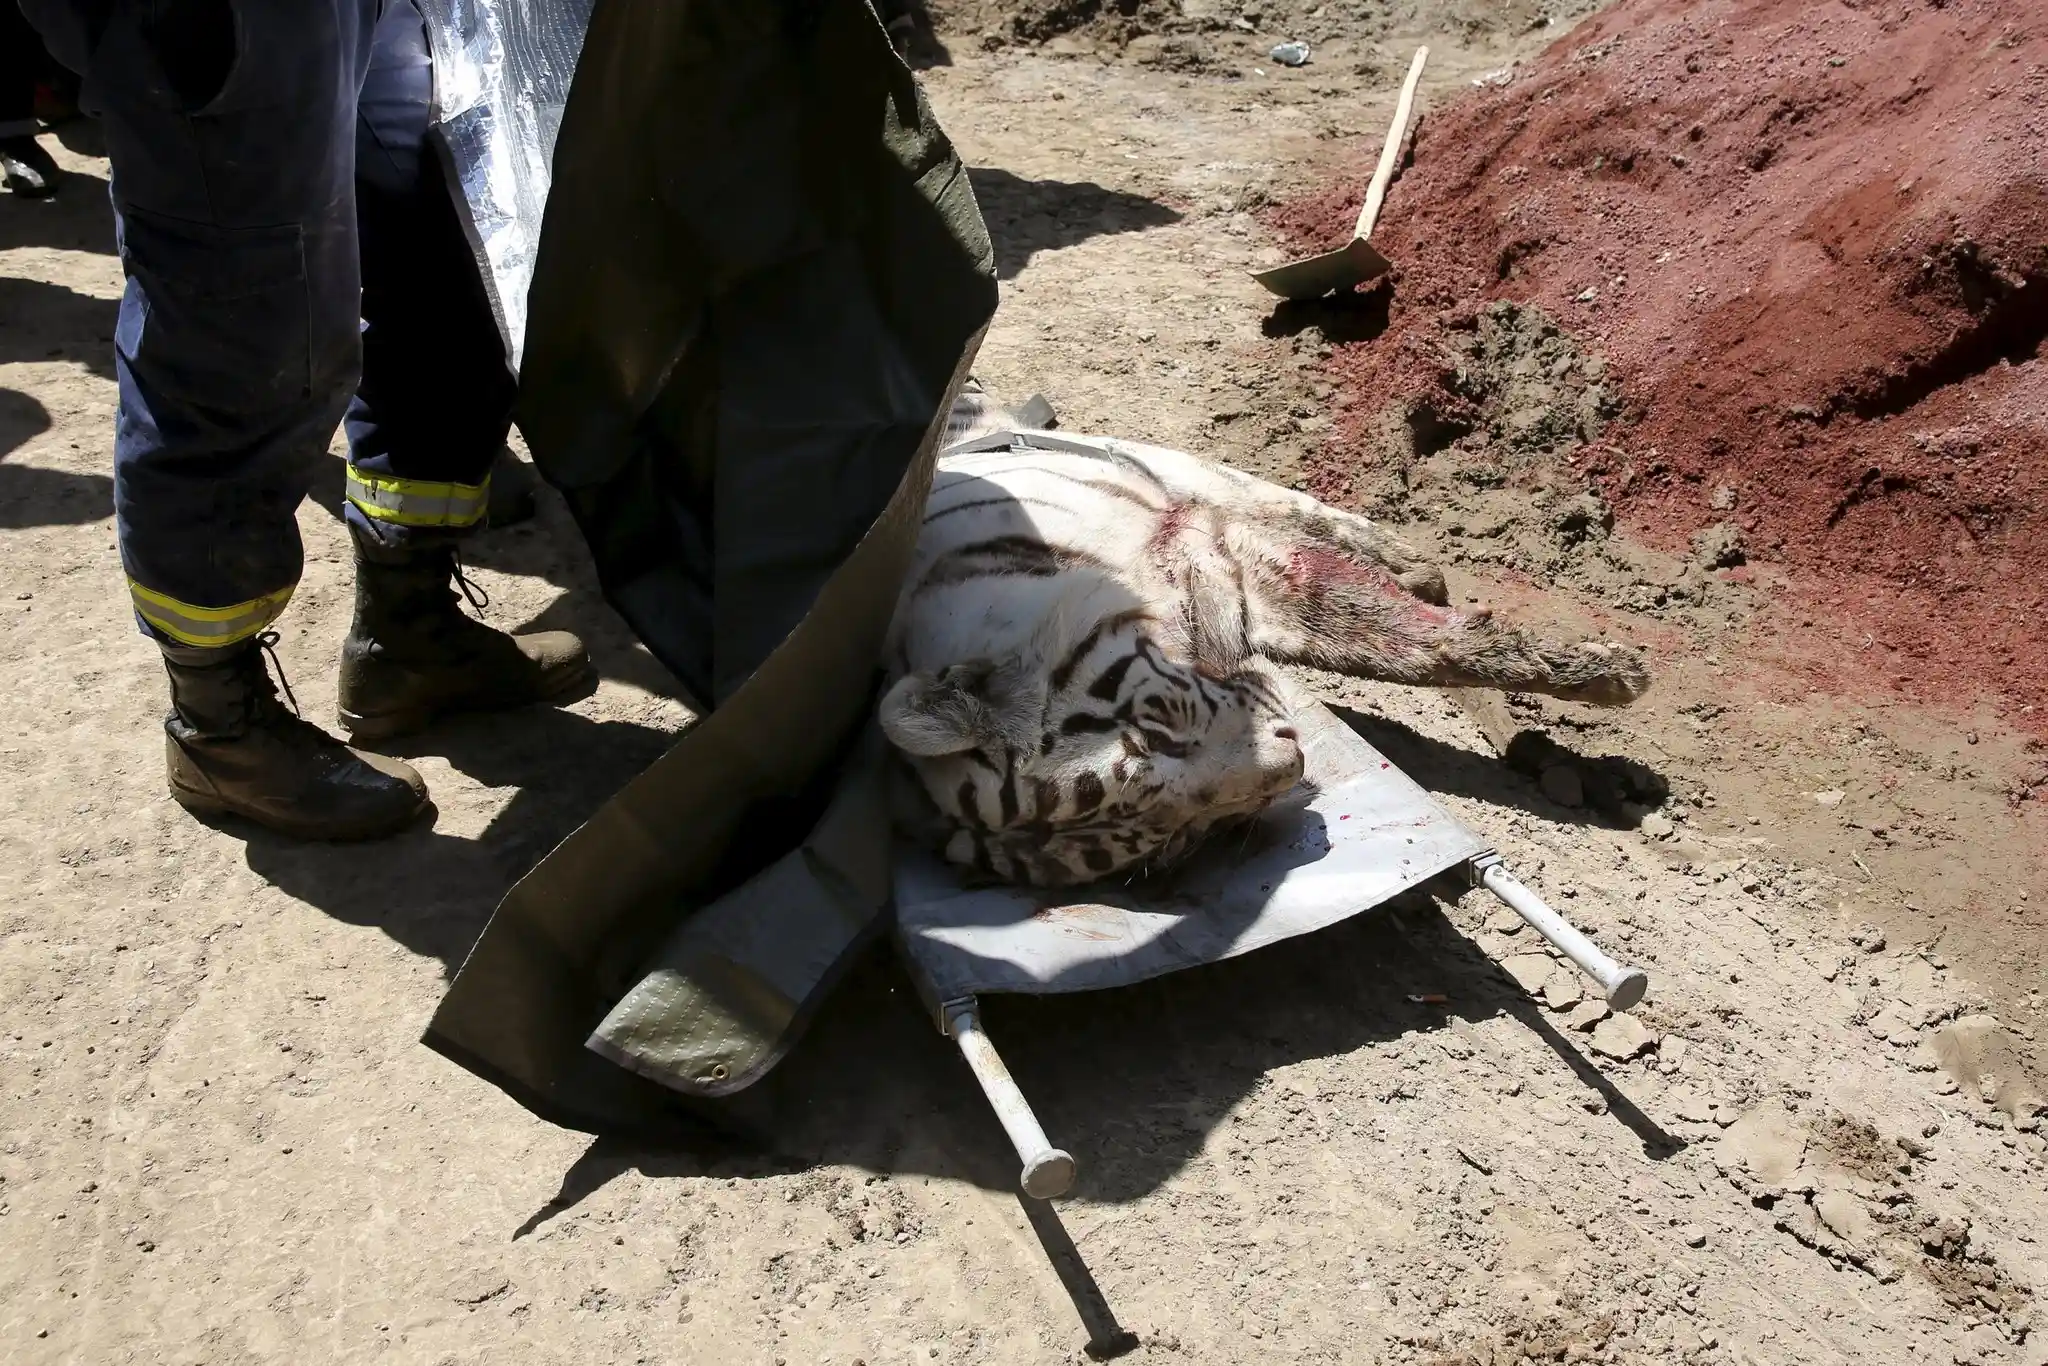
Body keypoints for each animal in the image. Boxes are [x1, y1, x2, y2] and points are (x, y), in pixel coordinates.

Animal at [879, 385, 1650, 889]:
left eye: (1160, 731)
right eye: (1179, 840)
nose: (1290, 764)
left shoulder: (1210, 550)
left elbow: (1403, 638)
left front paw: (1606, 672)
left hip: (1169, 470)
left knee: (1277, 498)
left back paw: (1413, 561)